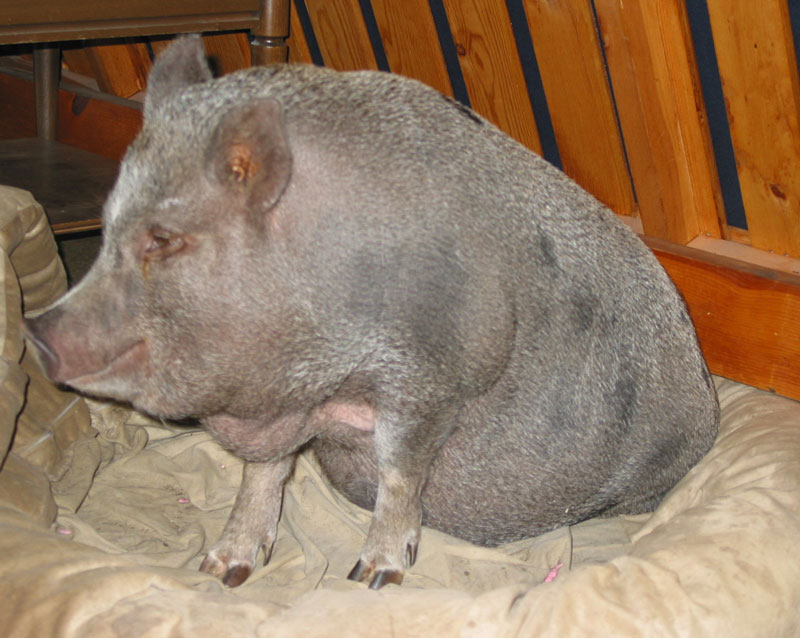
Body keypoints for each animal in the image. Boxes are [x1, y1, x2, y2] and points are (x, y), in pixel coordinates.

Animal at [25, 36, 719, 590]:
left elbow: (399, 473)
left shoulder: (435, 376)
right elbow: (262, 474)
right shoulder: (277, 394)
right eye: (109, 223)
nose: (36, 329)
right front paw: (223, 570)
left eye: (163, 239)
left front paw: (374, 577)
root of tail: (709, 401)